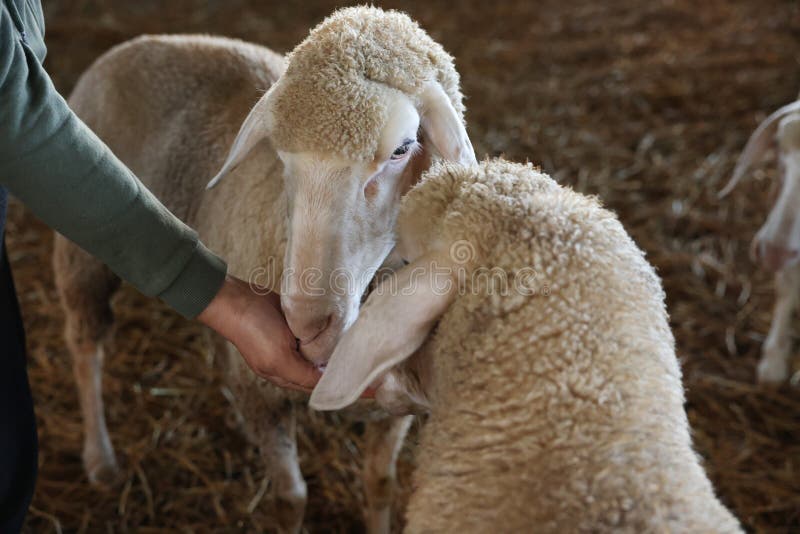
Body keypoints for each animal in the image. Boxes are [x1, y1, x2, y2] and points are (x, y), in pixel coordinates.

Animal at [53, 7, 474, 532]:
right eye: (282, 157)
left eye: (402, 149)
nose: (307, 327)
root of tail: (133, 43)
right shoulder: (266, 397)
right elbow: (290, 498)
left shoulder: (392, 412)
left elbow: (380, 485)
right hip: (83, 256)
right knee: (84, 344)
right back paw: (100, 459)